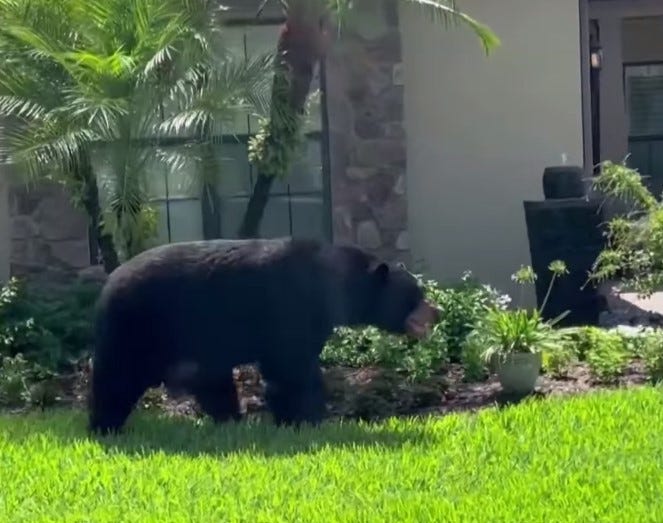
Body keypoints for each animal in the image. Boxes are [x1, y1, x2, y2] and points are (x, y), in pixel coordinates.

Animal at [87, 237, 440, 435]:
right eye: (416, 294)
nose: (437, 311)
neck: (333, 284)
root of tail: (107, 284)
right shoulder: (291, 305)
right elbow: (291, 368)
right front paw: (307, 418)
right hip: (139, 326)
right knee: (117, 378)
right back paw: (105, 426)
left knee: (211, 382)